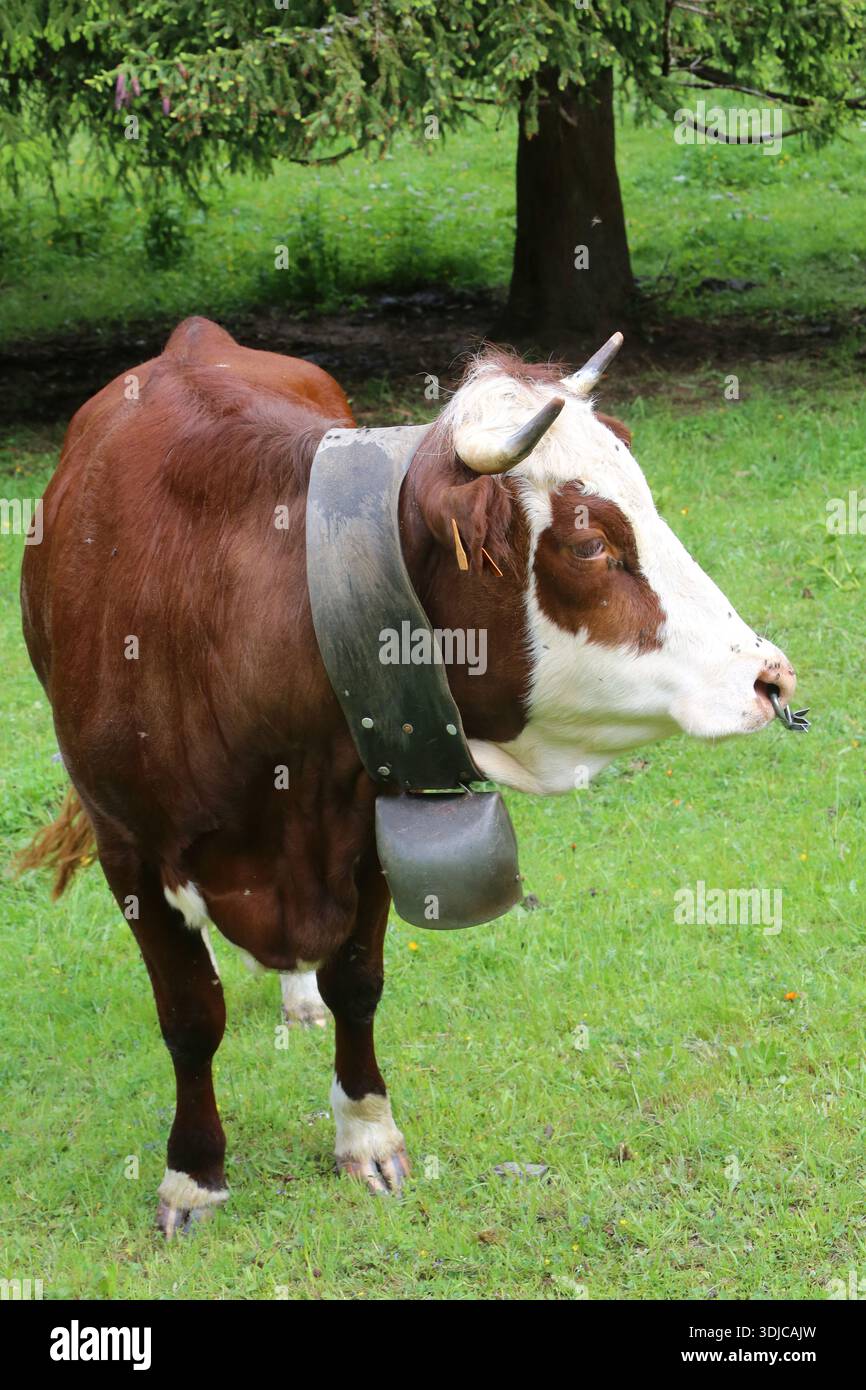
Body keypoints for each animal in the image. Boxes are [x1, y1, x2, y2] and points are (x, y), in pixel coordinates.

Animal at [19, 316, 797, 1234]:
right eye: (589, 543)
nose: (770, 678)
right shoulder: (129, 848)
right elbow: (190, 1015)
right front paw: (193, 1174)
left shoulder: (375, 809)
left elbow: (357, 983)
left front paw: (365, 1134)